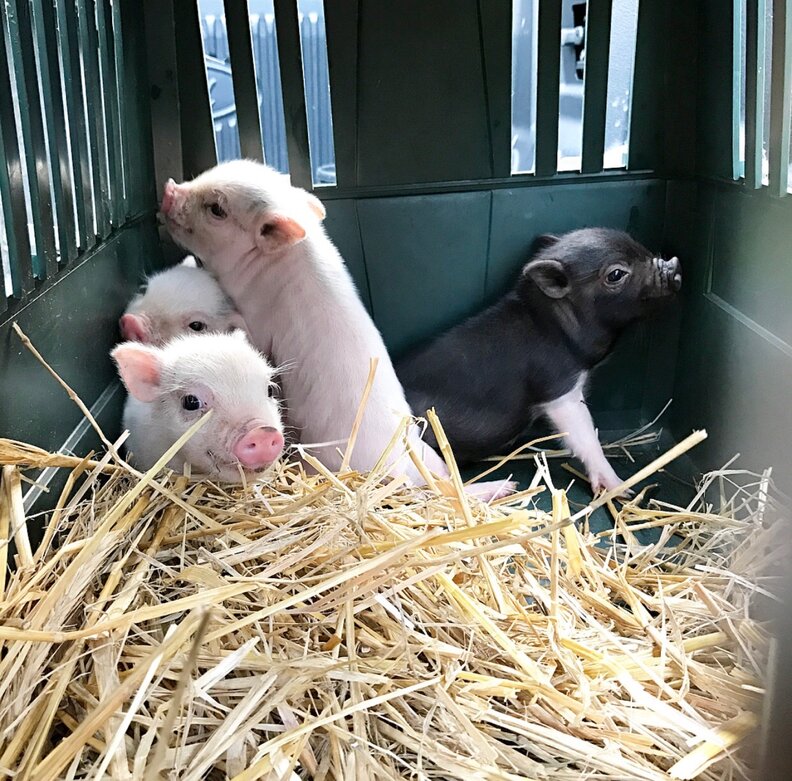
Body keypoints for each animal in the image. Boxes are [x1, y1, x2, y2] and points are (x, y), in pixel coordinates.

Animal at [396, 228, 682, 494]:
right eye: (616, 274)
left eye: (640, 246)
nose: (674, 264)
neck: (553, 322)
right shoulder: (558, 388)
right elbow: (584, 435)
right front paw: (622, 488)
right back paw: (504, 487)